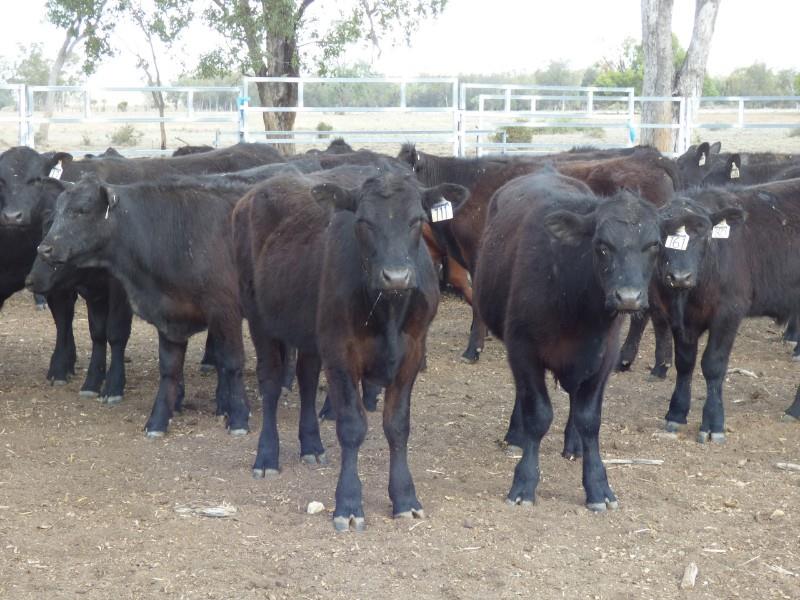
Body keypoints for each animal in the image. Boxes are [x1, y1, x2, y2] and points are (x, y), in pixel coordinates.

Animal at [33, 175, 253, 437]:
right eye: (57, 212)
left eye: (82, 210)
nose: (44, 249)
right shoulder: (170, 316)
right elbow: (169, 369)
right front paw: (158, 420)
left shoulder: (225, 312)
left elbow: (231, 363)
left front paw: (239, 417)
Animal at [234, 167, 467, 531]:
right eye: (363, 221)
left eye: (417, 219)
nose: (396, 277)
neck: (388, 310)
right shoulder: (341, 354)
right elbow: (352, 427)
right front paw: (348, 503)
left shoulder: (411, 354)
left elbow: (397, 426)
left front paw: (405, 498)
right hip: (259, 317)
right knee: (270, 383)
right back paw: (267, 456)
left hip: (309, 330)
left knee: (306, 378)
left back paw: (312, 445)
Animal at [474, 169, 662, 510]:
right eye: (602, 245)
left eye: (654, 245)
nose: (628, 297)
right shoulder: (523, 350)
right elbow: (538, 414)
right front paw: (524, 482)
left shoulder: (604, 358)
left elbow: (589, 419)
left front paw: (598, 486)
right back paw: (515, 434)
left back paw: (572, 445)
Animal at [653, 180, 800, 439]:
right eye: (661, 236)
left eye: (704, 235)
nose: (680, 276)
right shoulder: (681, 320)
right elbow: (685, 363)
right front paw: (676, 413)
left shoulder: (728, 313)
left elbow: (713, 365)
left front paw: (713, 423)